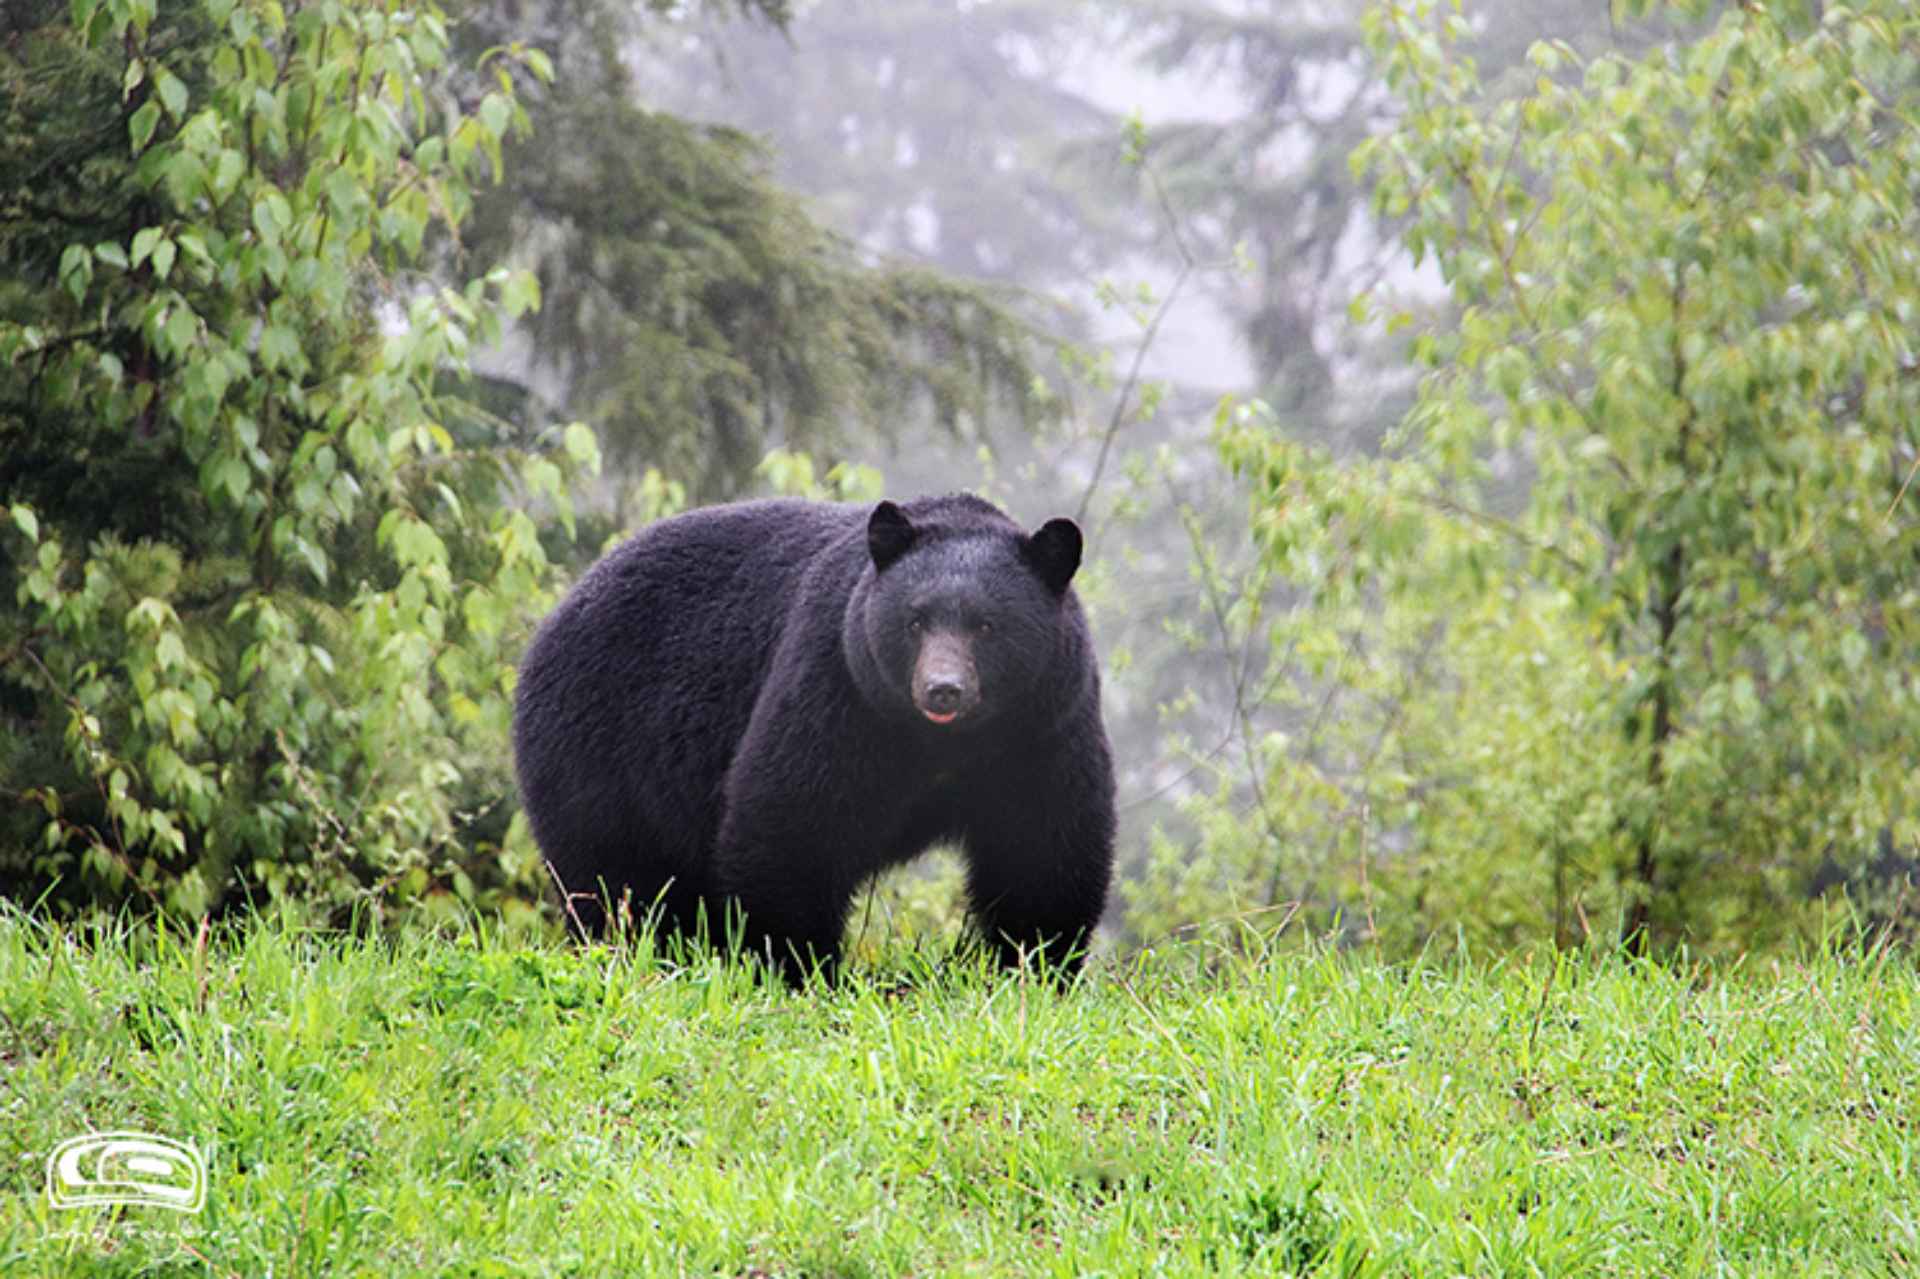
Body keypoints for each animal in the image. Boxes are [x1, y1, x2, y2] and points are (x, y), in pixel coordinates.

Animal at [511, 493, 1116, 983]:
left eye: (988, 626)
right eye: (916, 621)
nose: (943, 690)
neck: (942, 744)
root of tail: (553, 620)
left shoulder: (1044, 727)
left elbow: (1041, 846)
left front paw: (1037, 965)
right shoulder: (837, 685)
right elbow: (794, 821)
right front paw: (797, 966)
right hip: (599, 747)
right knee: (617, 875)